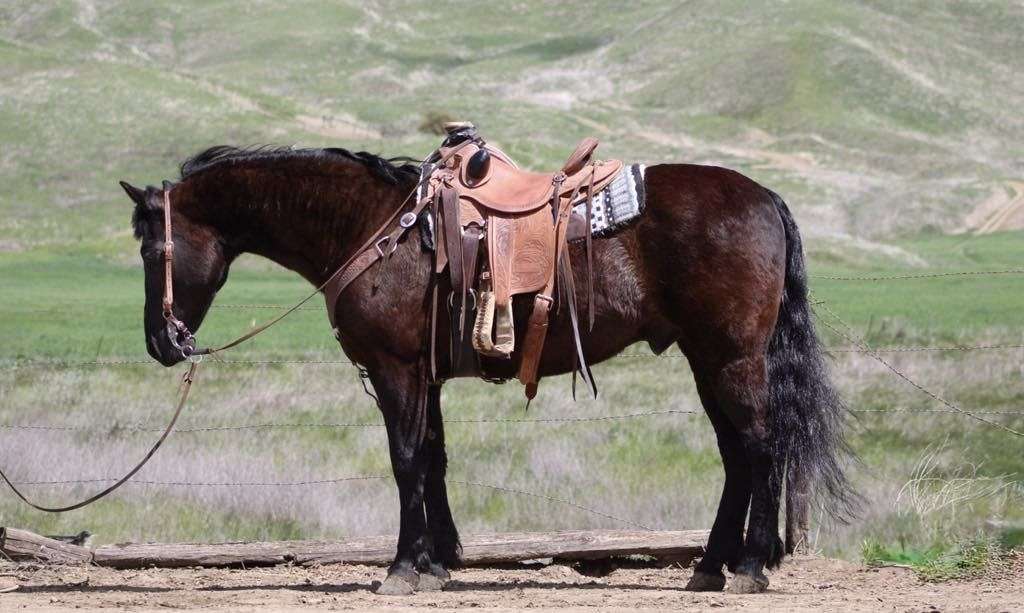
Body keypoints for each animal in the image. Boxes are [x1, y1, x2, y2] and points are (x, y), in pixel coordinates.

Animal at [120, 143, 854, 595]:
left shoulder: (396, 370)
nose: (161, 341)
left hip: (732, 357)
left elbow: (406, 459)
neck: (372, 227)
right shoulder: (424, 375)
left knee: (760, 446)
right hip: (706, 358)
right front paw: (438, 561)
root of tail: (764, 198)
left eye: (153, 249)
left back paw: (750, 564)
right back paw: (708, 567)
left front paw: (402, 567)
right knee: (736, 454)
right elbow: (433, 457)